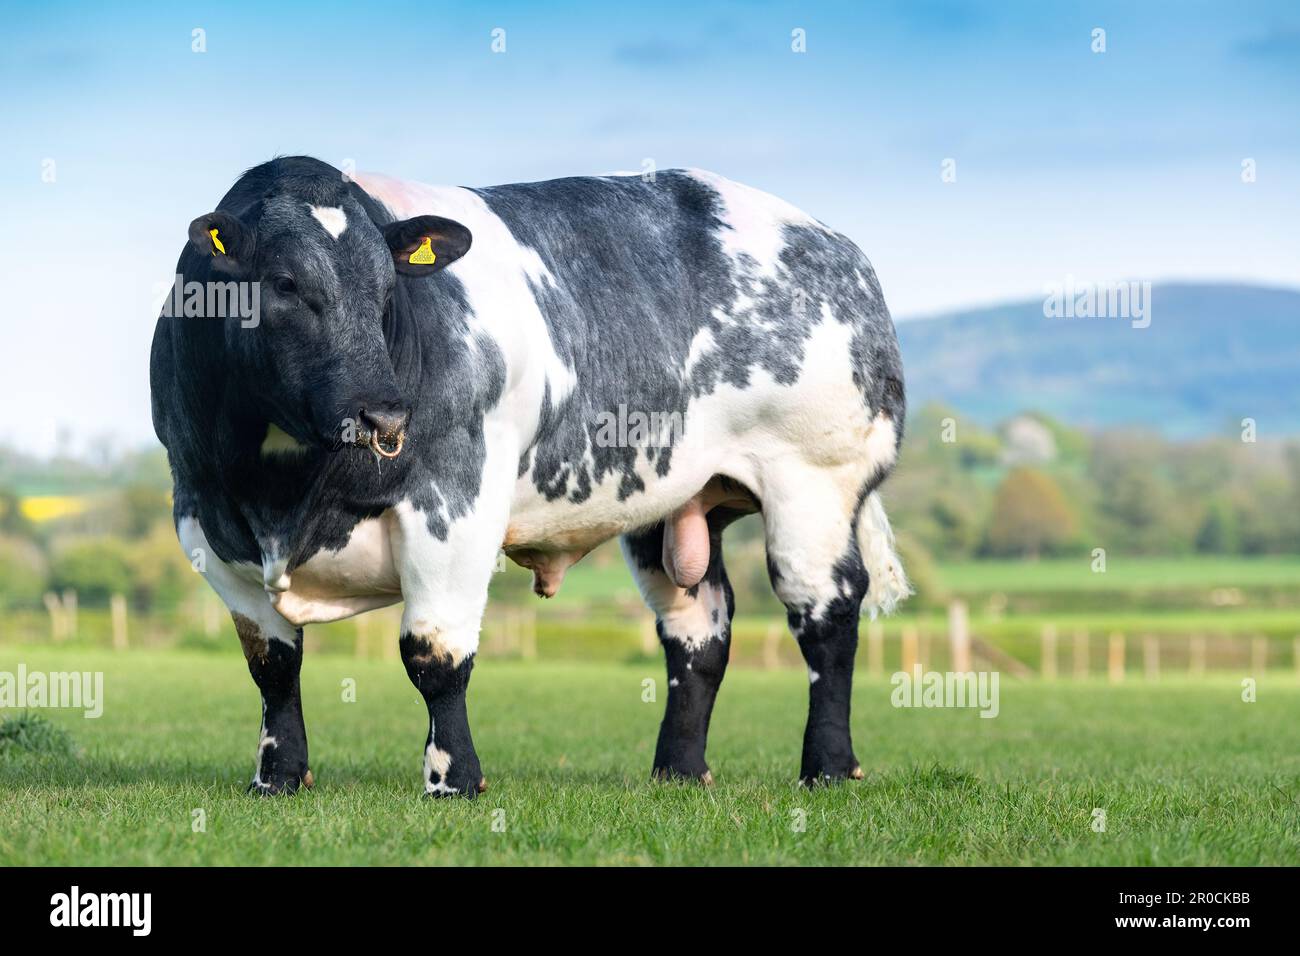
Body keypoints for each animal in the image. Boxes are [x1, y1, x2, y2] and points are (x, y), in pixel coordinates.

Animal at [150, 156, 909, 797]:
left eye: (387, 288)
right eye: (284, 284)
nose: (384, 411)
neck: (280, 496)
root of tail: (830, 243)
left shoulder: (454, 501)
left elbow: (434, 655)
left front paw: (453, 780)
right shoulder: (204, 521)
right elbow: (272, 666)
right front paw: (277, 777)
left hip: (811, 481)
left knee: (825, 612)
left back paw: (829, 767)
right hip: (670, 504)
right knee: (698, 630)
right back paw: (679, 771)